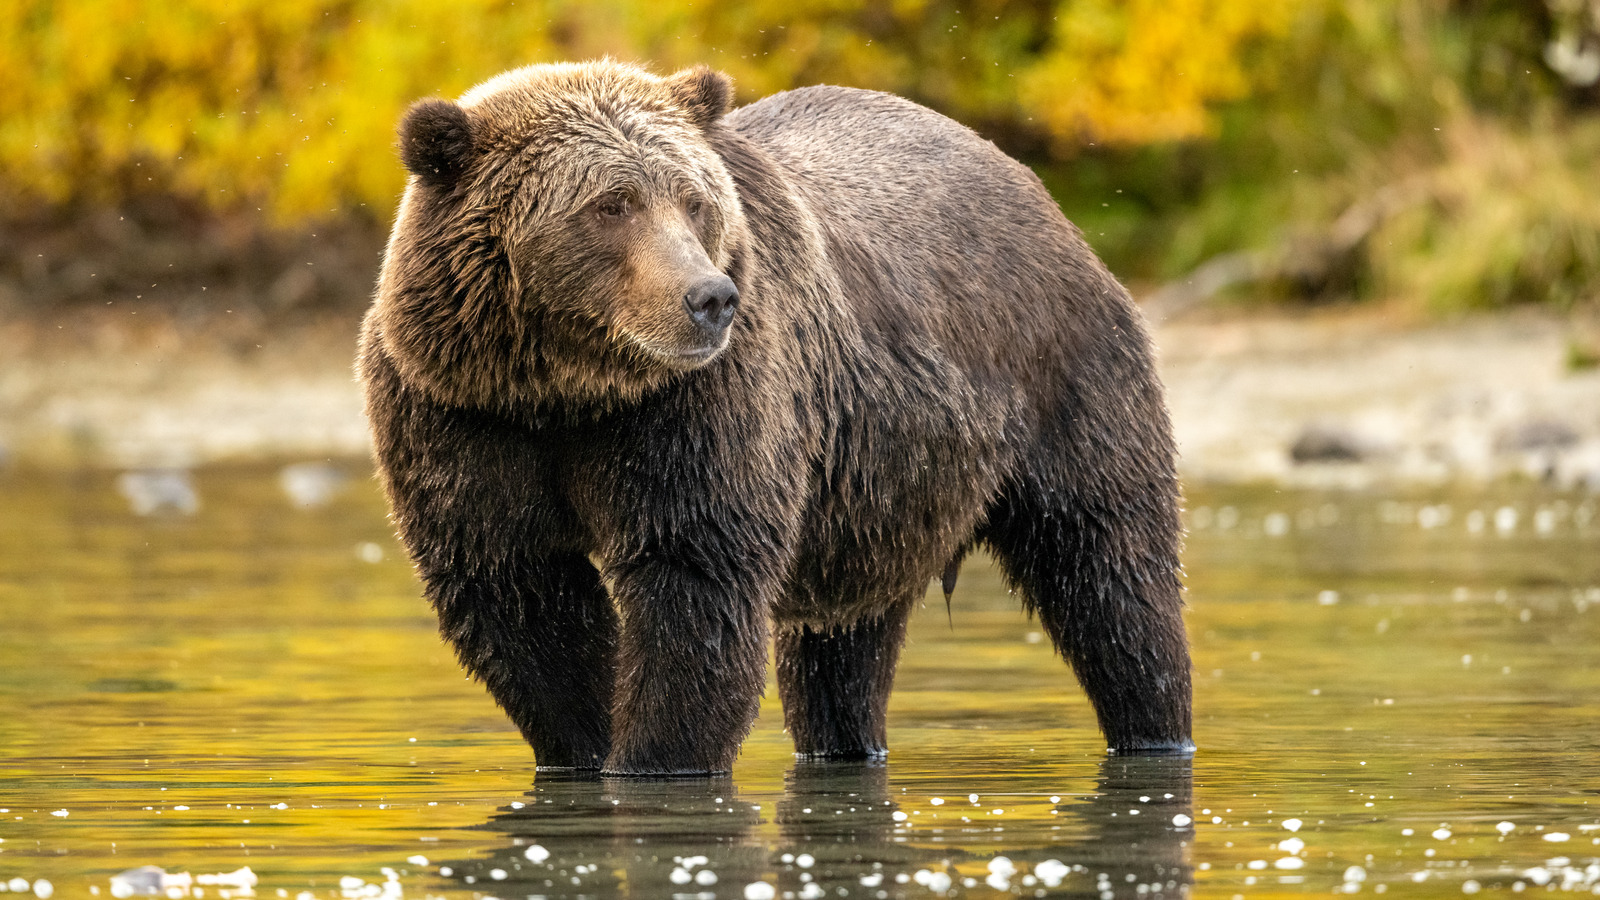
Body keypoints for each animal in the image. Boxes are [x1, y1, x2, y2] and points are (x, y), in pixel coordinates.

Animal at [358, 60, 1191, 776]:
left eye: (694, 200)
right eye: (612, 203)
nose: (708, 297)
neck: (572, 389)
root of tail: (1032, 188)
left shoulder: (698, 407)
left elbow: (692, 583)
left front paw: (655, 760)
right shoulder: (459, 414)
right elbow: (520, 590)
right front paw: (585, 749)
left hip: (1061, 376)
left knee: (1110, 573)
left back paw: (1156, 728)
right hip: (879, 491)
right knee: (844, 649)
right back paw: (847, 744)